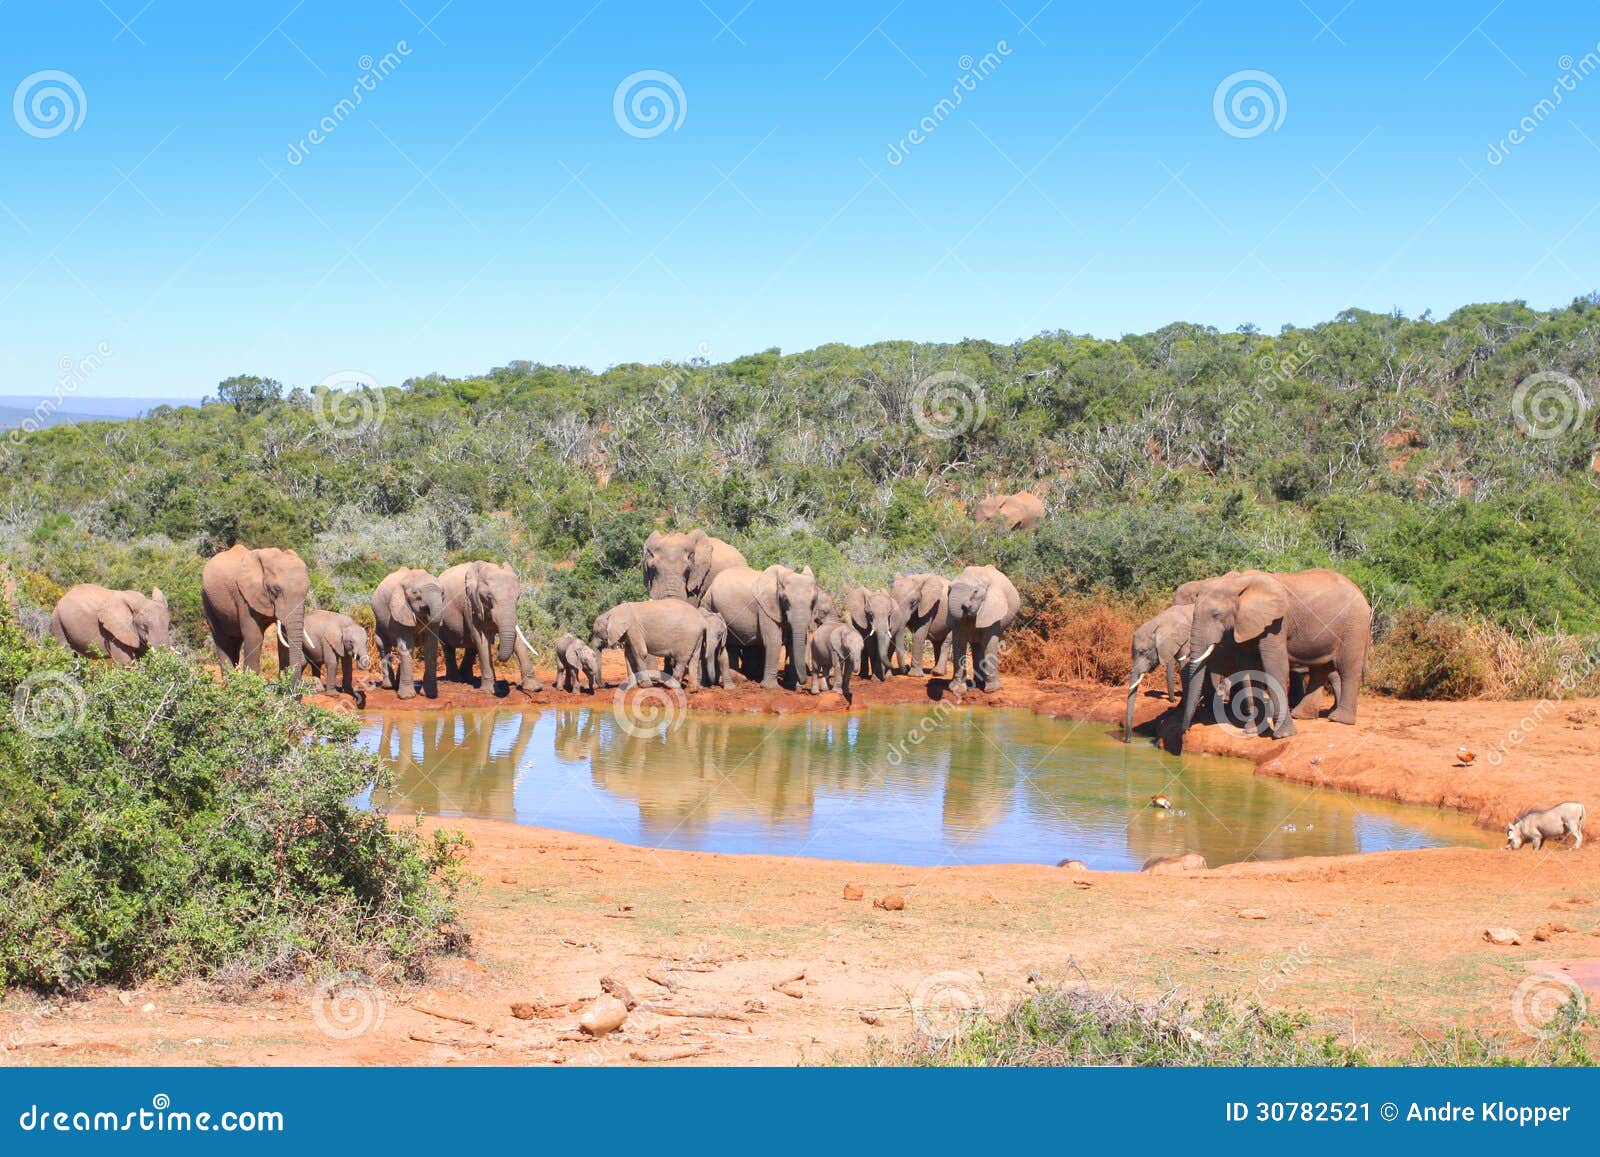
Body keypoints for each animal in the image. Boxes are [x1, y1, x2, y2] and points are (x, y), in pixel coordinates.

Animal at [201, 544, 310, 675]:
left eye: (307, 589)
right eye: (276, 589)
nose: (304, 662)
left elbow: (283, 637)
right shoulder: (244, 597)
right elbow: (254, 636)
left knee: (235, 642)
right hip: (207, 600)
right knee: (222, 639)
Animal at [371, 567, 445, 700]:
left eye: (442, 593)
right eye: (415, 593)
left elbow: (431, 647)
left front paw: (429, 695)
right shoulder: (400, 611)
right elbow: (406, 645)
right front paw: (406, 697)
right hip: (379, 619)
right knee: (383, 645)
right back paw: (388, 686)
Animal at [437, 561, 542, 694]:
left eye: (518, 597)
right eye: (489, 597)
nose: (498, 646)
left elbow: (518, 641)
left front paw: (534, 688)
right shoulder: (470, 604)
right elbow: (482, 641)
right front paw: (489, 691)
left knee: (471, 647)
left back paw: (468, 679)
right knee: (448, 647)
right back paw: (455, 680)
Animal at [945, 565, 1020, 694]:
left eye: (975, 592)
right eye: (949, 589)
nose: (964, 606)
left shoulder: (992, 609)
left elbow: (989, 642)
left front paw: (992, 690)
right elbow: (959, 641)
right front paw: (957, 689)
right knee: (976, 646)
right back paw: (978, 683)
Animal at [1178, 569, 1371, 739]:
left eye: (1216, 614)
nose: (1185, 731)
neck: (1238, 582)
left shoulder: (1276, 623)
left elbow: (1275, 667)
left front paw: (1283, 735)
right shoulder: (1246, 624)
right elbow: (1248, 669)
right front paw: (1252, 731)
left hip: (1354, 625)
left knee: (1347, 668)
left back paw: (1339, 719)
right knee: (1319, 669)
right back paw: (1302, 715)